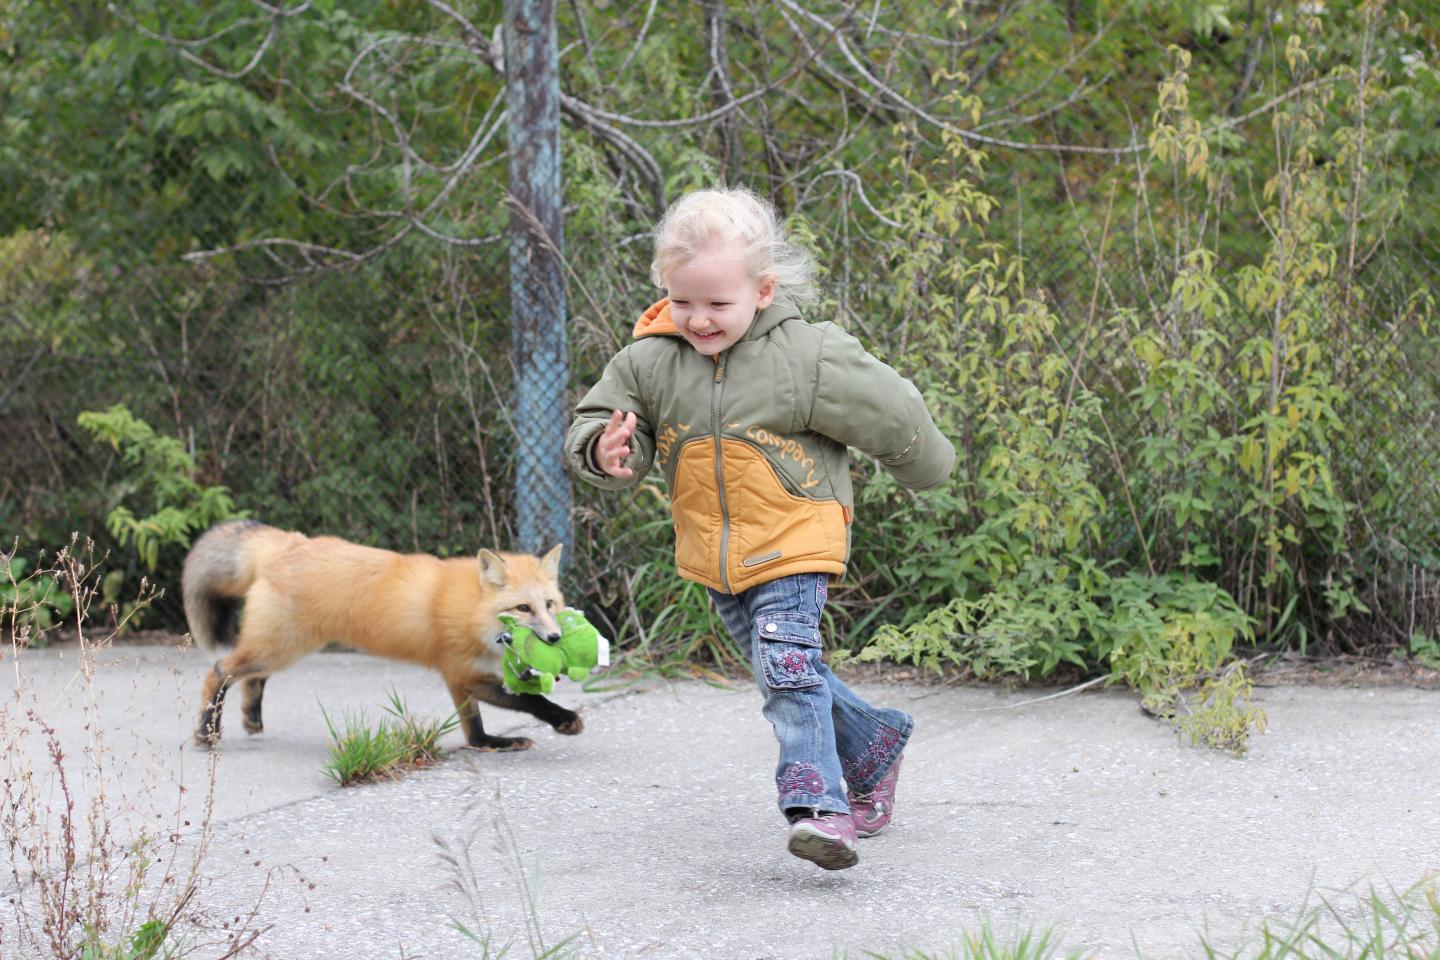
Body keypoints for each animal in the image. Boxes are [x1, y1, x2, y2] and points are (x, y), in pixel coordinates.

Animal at [182, 519, 583, 752]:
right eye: (523, 608)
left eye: (549, 604)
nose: (554, 638)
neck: (473, 613)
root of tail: (291, 542)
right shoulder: (463, 672)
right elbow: (530, 700)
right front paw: (564, 719)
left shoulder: (458, 676)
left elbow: (474, 730)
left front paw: (494, 743)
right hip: (280, 646)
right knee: (220, 670)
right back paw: (205, 732)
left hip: (283, 647)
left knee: (252, 677)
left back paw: (250, 717)